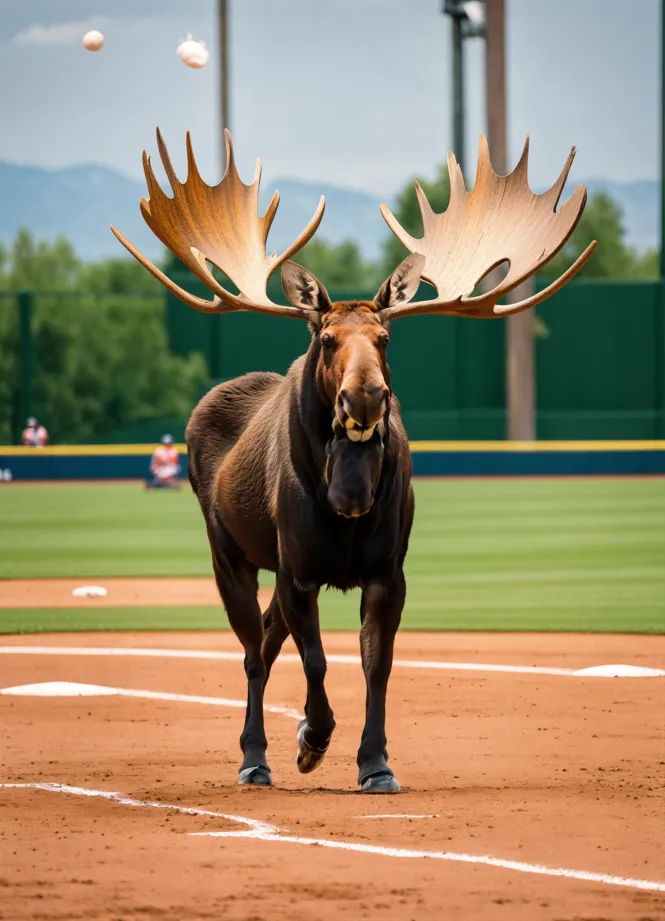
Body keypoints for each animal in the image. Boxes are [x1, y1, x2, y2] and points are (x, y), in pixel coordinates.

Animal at [112, 129, 595, 792]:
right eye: (326, 338)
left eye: (385, 338)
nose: (364, 395)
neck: (348, 492)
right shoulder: (298, 571)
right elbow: (316, 660)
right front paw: (313, 738)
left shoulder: (388, 572)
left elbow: (377, 665)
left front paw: (375, 761)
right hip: (227, 552)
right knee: (252, 652)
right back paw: (254, 755)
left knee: (266, 639)